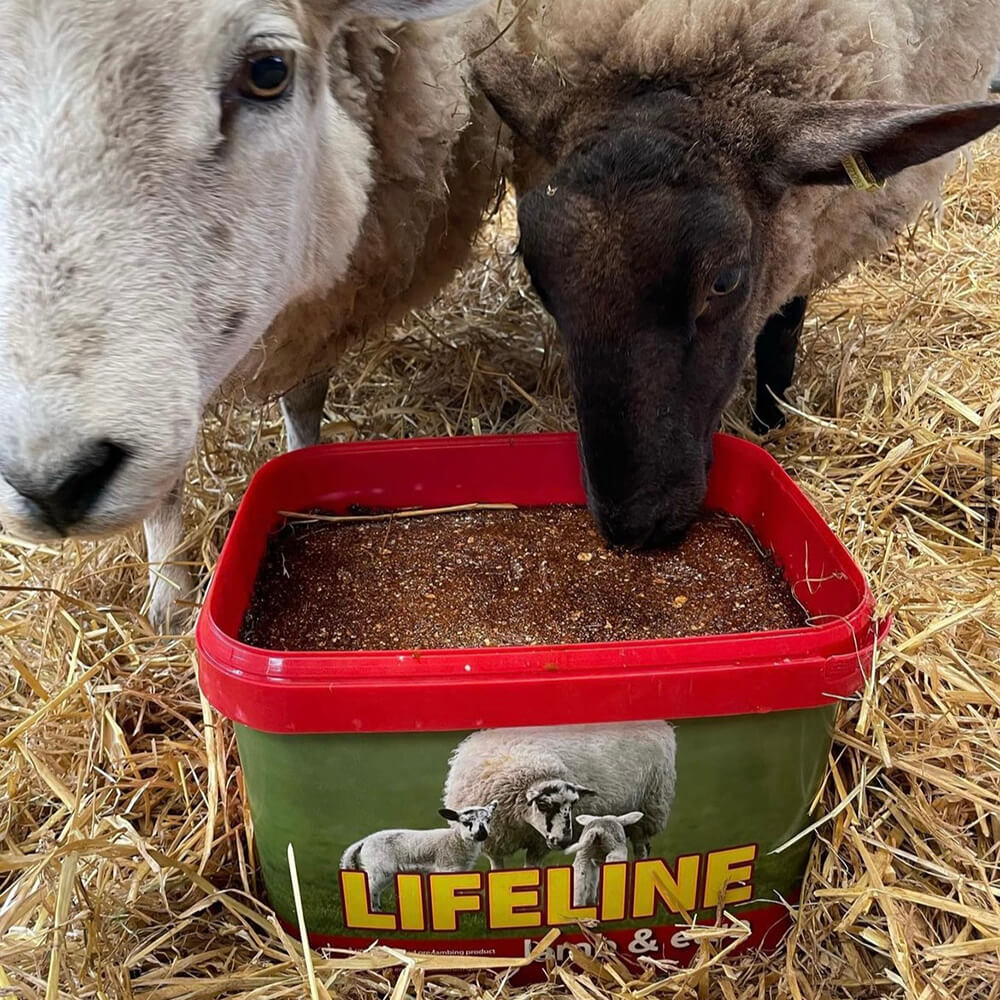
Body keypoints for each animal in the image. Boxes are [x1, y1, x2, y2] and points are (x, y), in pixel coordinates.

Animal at [339, 800, 498, 912]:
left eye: (488, 820)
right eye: (466, 822)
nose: (482, 834)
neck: (456, 840)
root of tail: (364, 841)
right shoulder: (446, 866)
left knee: (374, 889)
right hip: (379, 867)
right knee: (370, 888)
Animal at [442, 720, 676, 868]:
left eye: (572, 805)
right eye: (543, 805)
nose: (564, 841)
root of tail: (663, 724)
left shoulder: (538, 843)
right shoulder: (495, 842)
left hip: (649, 808)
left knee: (642, 847)